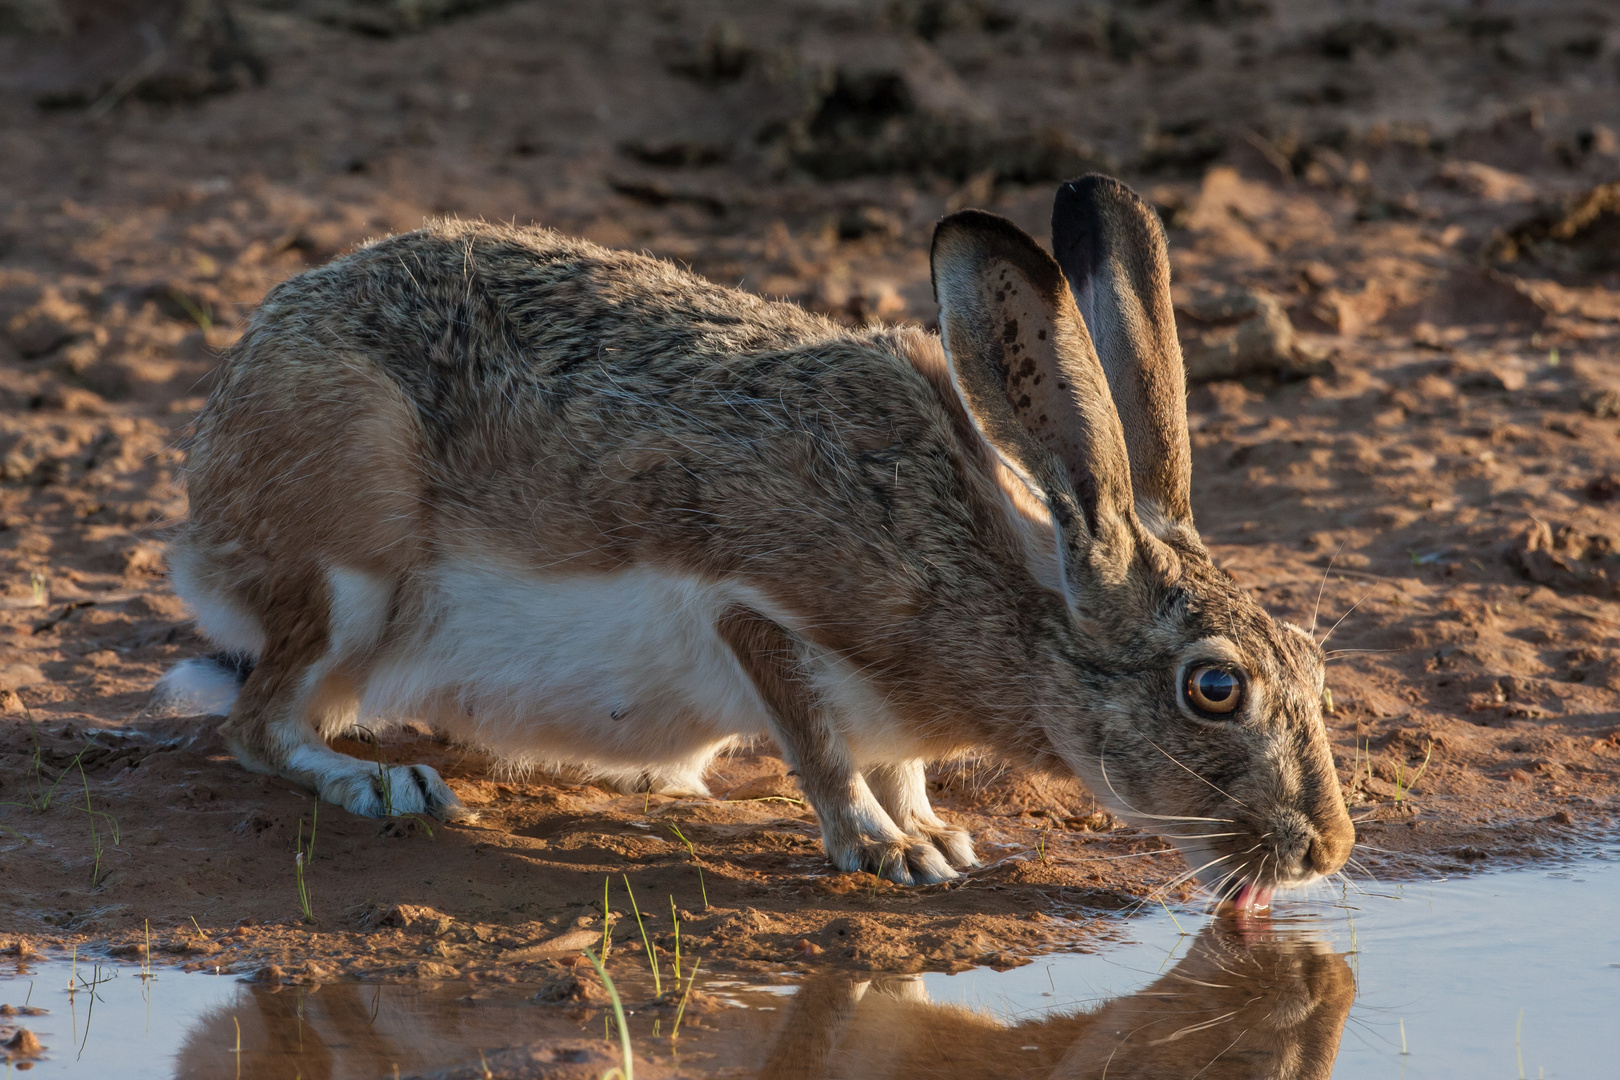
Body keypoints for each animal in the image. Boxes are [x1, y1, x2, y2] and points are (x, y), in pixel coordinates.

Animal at [155, 173, 1355, 899]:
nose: (1324, 850)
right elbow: (820, 745)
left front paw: (938, 834)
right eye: (1214, 688)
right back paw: (385, 786)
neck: (997, 581)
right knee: (259, 723)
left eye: (1313, 663)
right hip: (350, 563)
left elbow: (900, 764)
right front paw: (891, 852)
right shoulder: (759, 602)